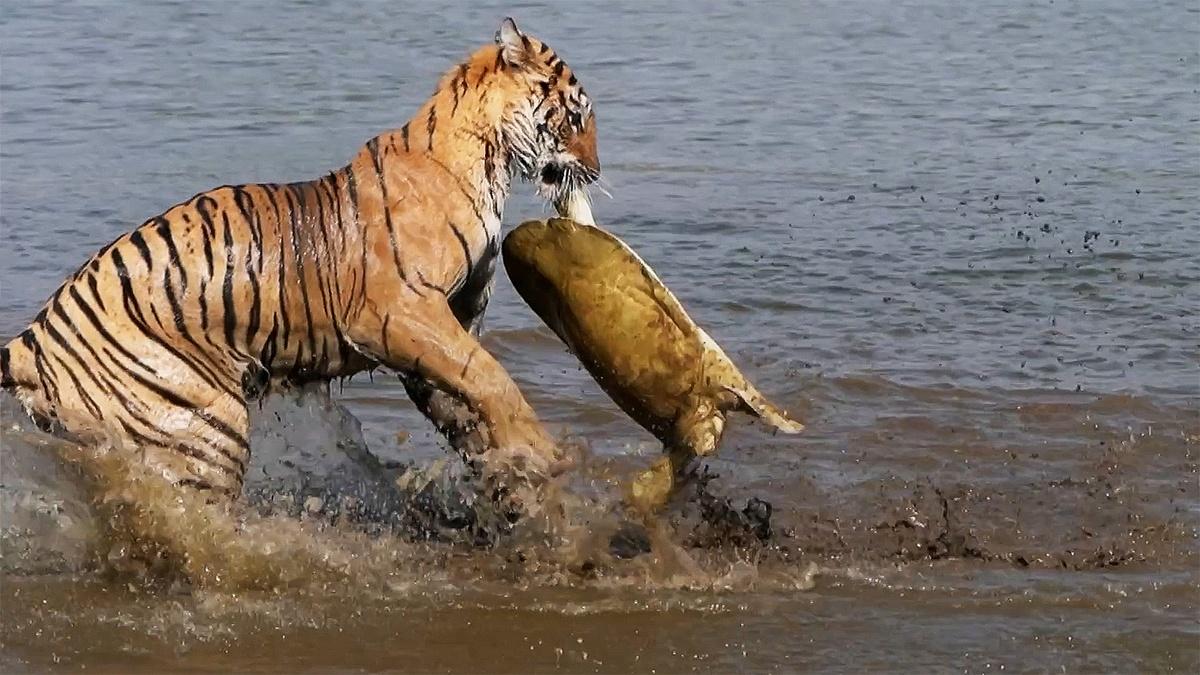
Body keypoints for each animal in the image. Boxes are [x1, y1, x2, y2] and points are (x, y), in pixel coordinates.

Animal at [0, 18, 600, 513]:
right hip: (203, 429)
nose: (595, 171)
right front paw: (548, 456)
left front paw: (512, 480)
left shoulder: (450, 321)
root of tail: (31, 337)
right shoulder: (393, 312)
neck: (487, 157)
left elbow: (467, 400)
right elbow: (491, 377)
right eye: (576, 116)